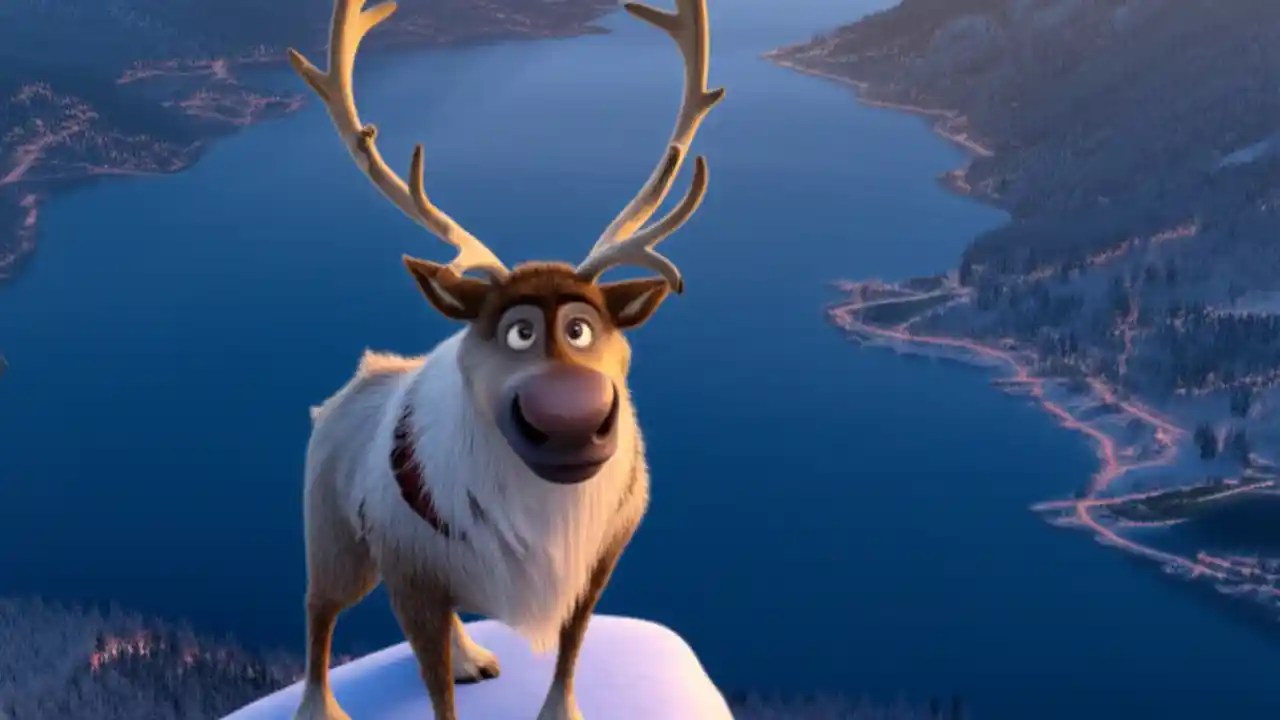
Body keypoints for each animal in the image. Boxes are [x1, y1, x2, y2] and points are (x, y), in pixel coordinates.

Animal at [284, 1, 723, 718]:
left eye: (583, 327)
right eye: (515, 331)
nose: (572, 420)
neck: (543, 522)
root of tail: (354, 384)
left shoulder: (598, 562)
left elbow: (570, 652)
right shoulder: (410, 571)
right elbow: (435, 691)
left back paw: (472, 657)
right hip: (335, 538)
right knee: (320, 611)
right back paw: (321, 707)